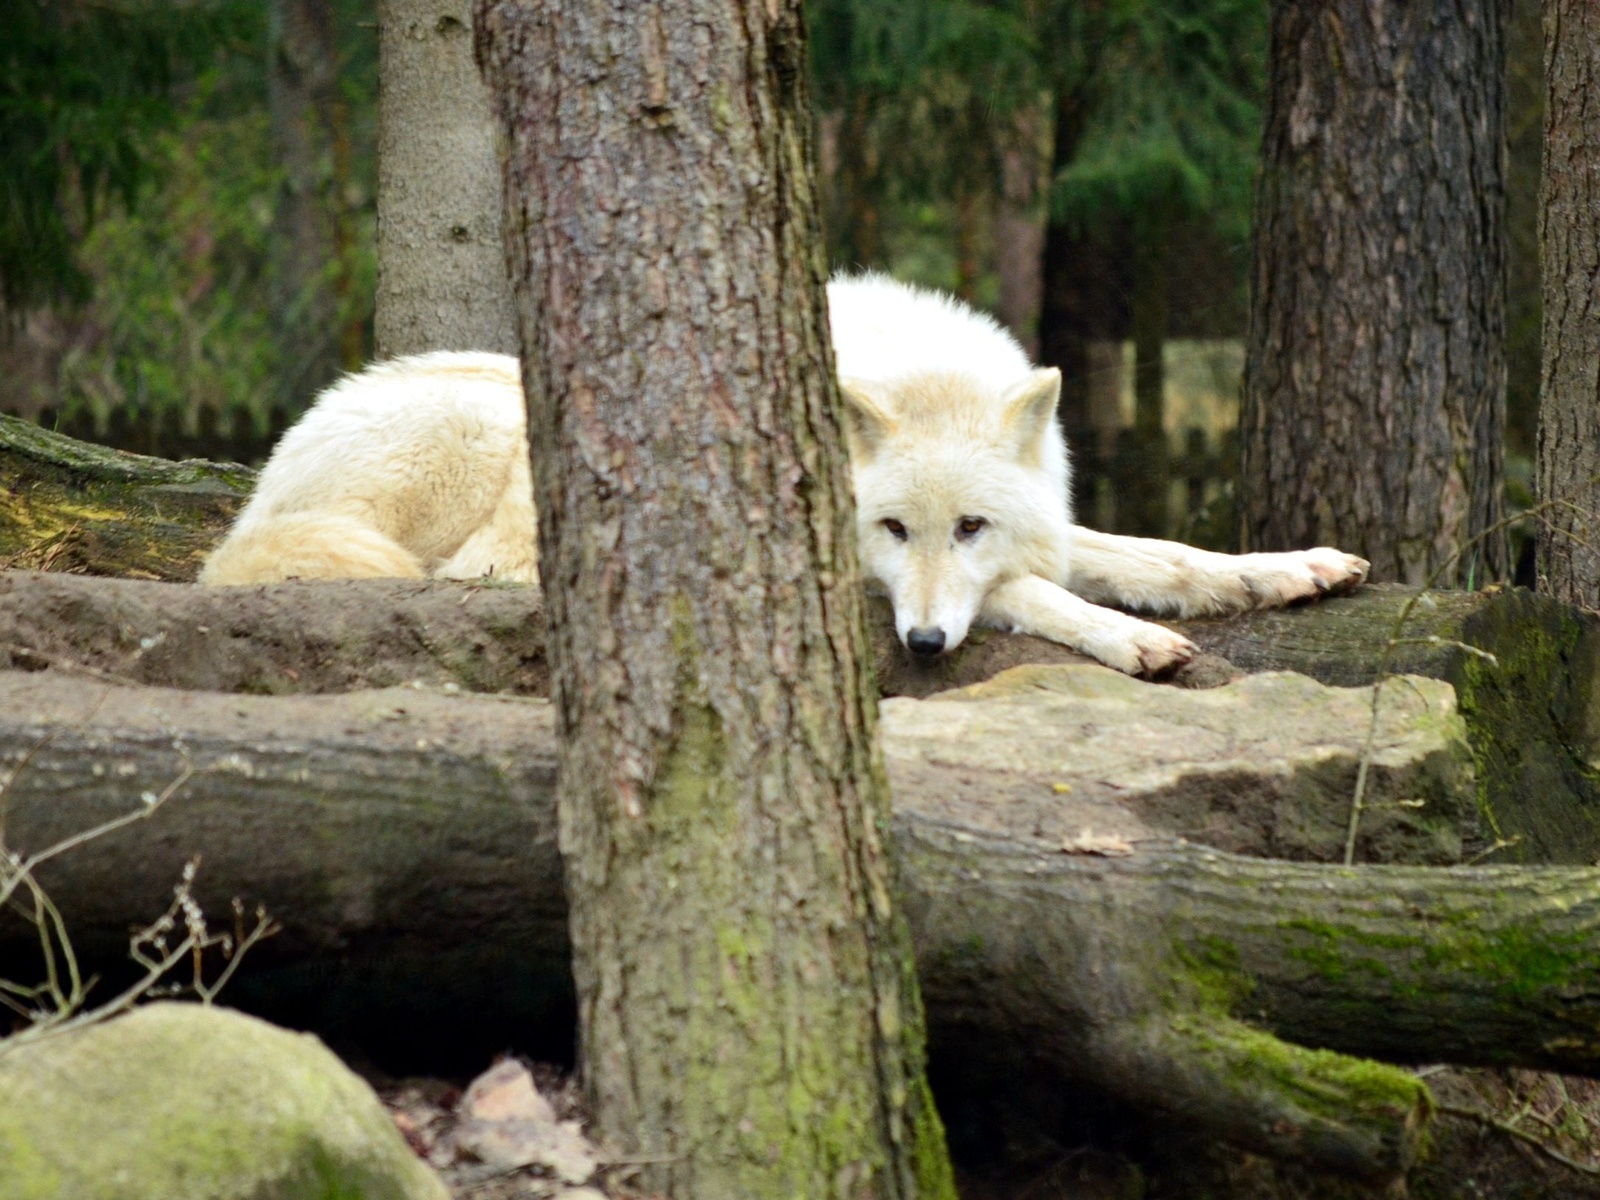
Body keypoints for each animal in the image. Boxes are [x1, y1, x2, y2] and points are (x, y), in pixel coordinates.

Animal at [202, 274, 1366, 676]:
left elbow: (1154, 552)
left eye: (971, 524)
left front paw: (1289, 569)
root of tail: (248, 513)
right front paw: (1131, 641)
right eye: (892, 531)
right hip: (495, 425)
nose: (923, 646)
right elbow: (1039, 594)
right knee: (471, 578)